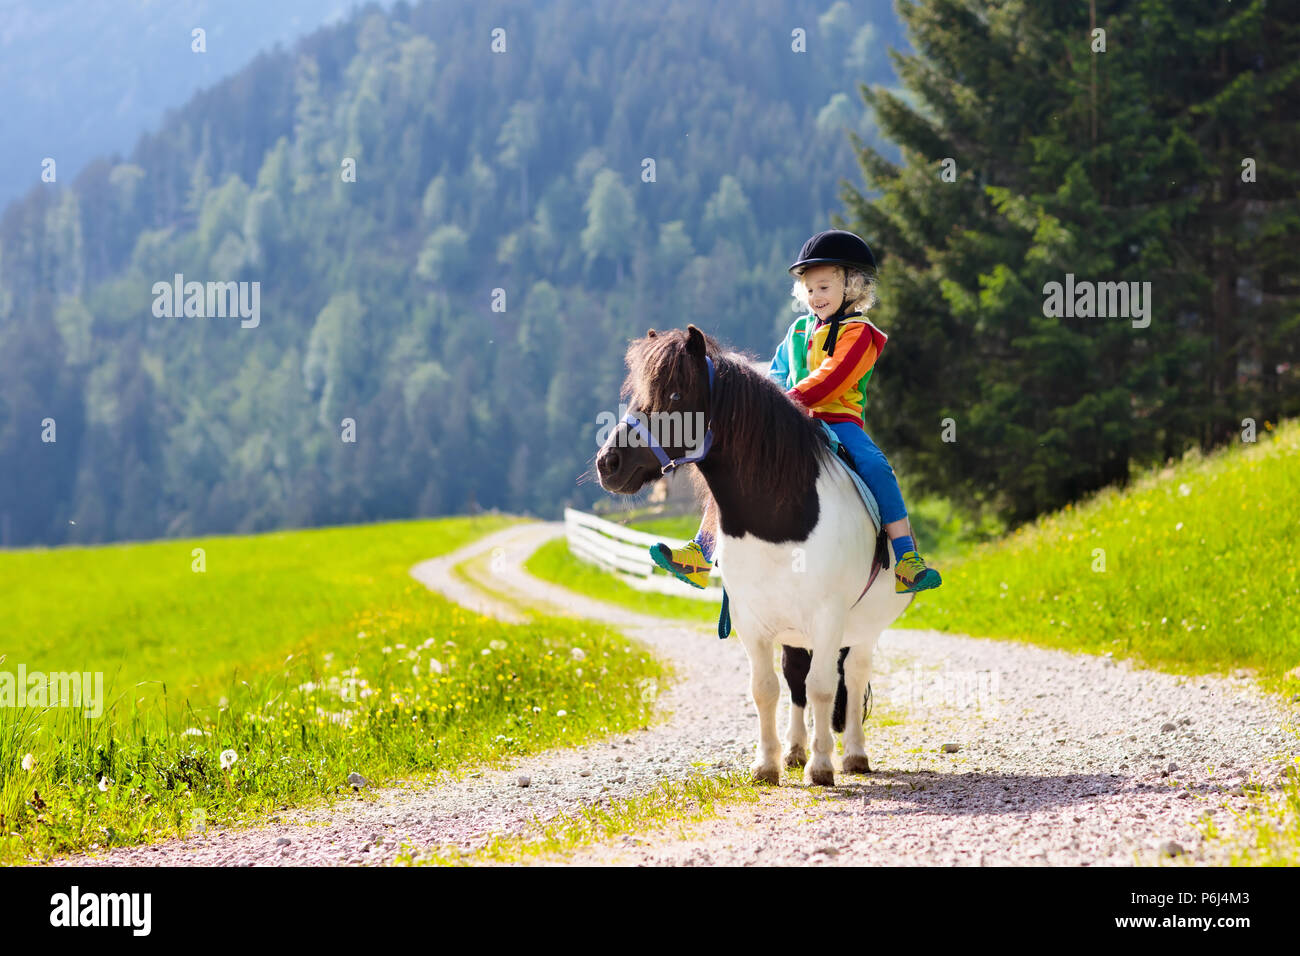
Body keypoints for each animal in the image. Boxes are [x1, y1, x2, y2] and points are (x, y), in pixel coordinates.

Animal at [595, 324, 914, 786]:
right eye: (637, 392)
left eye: (674, 394)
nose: (609, 463)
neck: (779, 518)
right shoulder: (750, 620)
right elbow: (766, 689)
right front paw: (768, 764)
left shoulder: (828, 617)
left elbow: (824, 687)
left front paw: (821, 766)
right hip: (796, 633)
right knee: (797, 679)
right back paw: (797, 749)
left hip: (862, 630)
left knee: (852, 678)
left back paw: (853, 754)